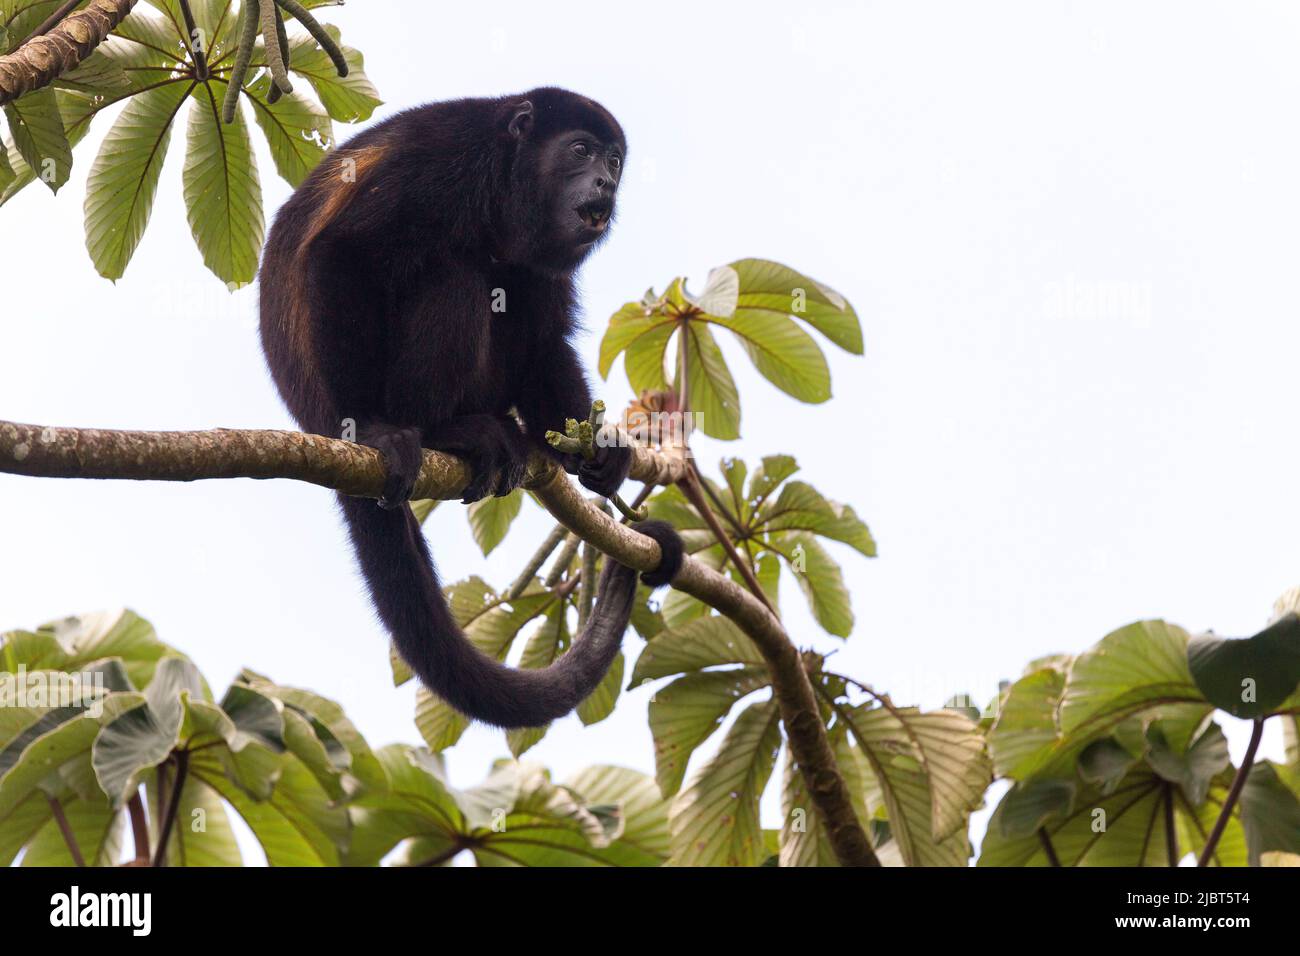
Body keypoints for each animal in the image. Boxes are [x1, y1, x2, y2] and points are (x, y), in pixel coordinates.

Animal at [257, 88, 684, 729]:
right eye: (580, 150)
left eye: (614, 159)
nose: (606, 182)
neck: (507, 177)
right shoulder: (439, 162)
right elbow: (346, 253)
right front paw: (372, 430)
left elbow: (546, 335)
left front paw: (600, 452)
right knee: (452, 270)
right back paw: (445, 431)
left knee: (517, 288)